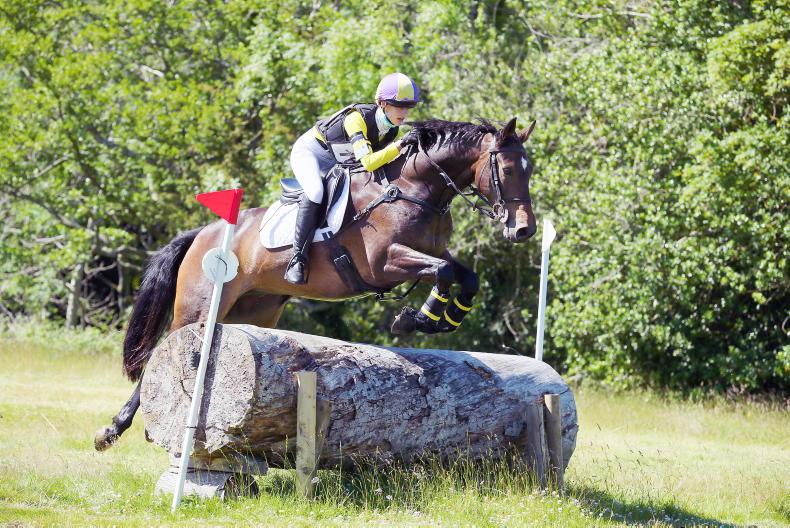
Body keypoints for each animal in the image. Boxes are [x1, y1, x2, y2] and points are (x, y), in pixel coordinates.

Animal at [94, 116, 537, 451]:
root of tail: (203, 232)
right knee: (161, 352)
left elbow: (464, 275)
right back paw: (112, 430)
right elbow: (443, 273)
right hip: (198, 307)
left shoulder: (433, 254)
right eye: (507, 170)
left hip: (253, 311)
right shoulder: (383, 262)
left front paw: (438, 319)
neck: (413, 189)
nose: (524, 231)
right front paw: (416, 319)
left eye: (529, 171)